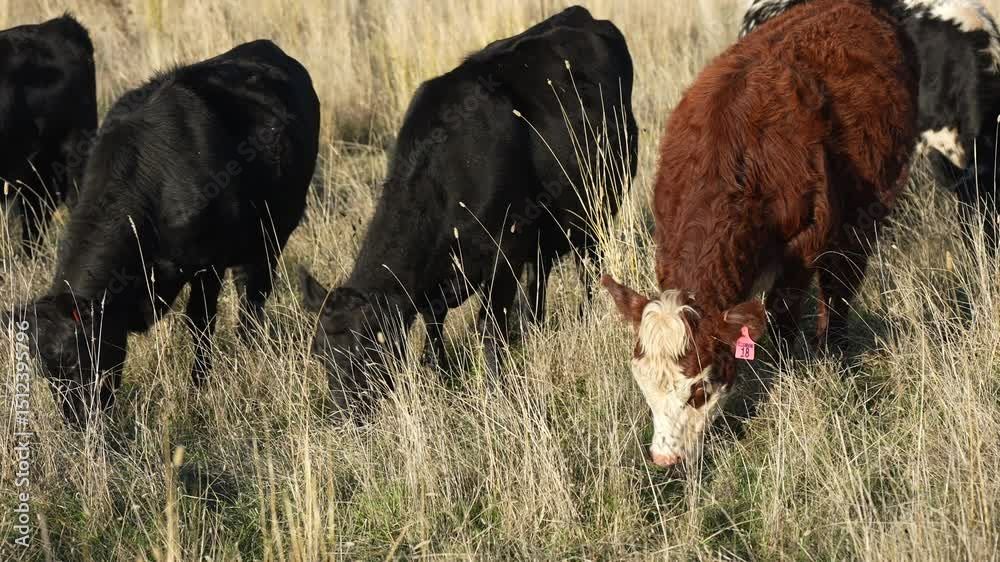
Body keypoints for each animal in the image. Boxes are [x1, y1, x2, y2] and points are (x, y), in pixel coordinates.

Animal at [6, 40, 320, 426]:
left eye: (74, 360)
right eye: (45, 371)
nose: (78, 423)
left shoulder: (208, 264)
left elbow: (199, 323)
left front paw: (199, 385)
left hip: (274, 233)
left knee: (254, 296)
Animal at [299, 5, 638, 414]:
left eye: (367, 351)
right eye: (320, 353)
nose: (344, 412)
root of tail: (581, 15)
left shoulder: (505, 250)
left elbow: (490, 327)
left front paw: (494, 387)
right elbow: (434, 318)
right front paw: (438, 369)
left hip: (596, 208)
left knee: (587, 265)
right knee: (541, 273)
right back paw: (534, 324)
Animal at [604, 0, 919, 468]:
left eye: (699, 390)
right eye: (642, 385)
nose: (664, 459)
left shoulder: (803, 248)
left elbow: (784, 316)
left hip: (869, 208)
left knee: (841, 282)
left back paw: (835, 345)